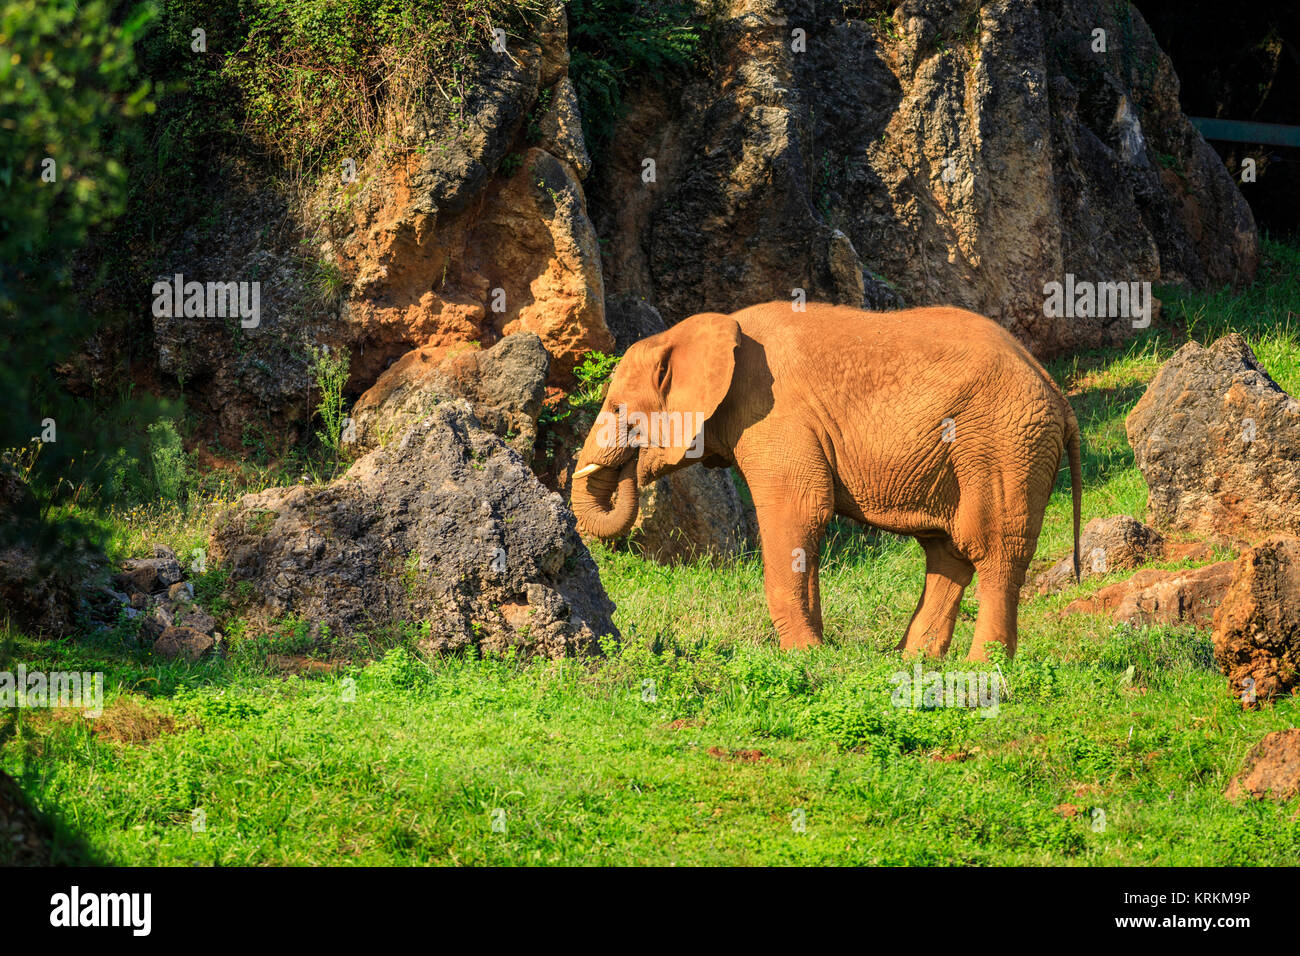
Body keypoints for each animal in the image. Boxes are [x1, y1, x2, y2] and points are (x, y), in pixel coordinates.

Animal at [570, 302, 1081, 661]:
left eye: (617, 409)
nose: (632, 467)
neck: (701, 329)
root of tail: (1056, 391)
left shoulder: (773, 414)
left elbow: (796, 512)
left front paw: (802, 656)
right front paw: (819, 653)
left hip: (1003, 443)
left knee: (991, 546)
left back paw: (981, 668)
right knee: (947, 550)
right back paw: (912, 661)